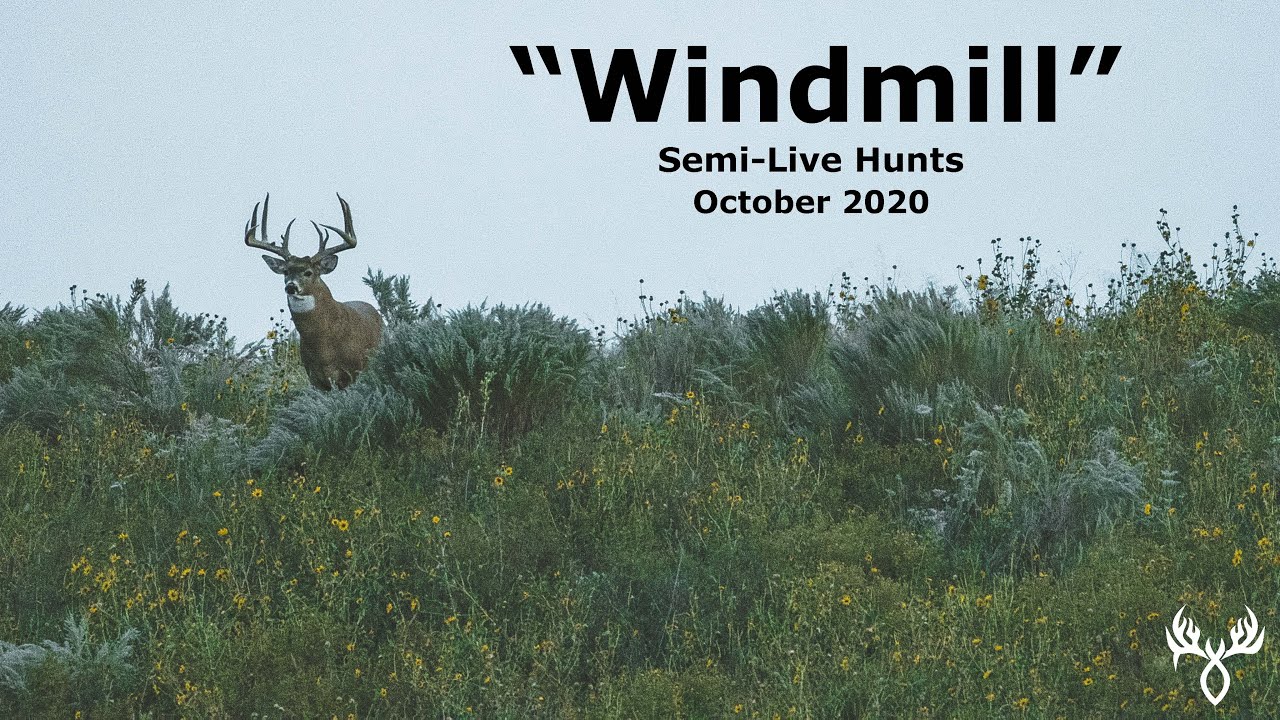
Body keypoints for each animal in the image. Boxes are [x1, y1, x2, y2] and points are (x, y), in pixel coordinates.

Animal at [245, 194, 383, 390]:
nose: (291, 286)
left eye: (308, 272)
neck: (324, 345)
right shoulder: (314, 376)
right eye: (286, 271)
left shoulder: (352, 371)